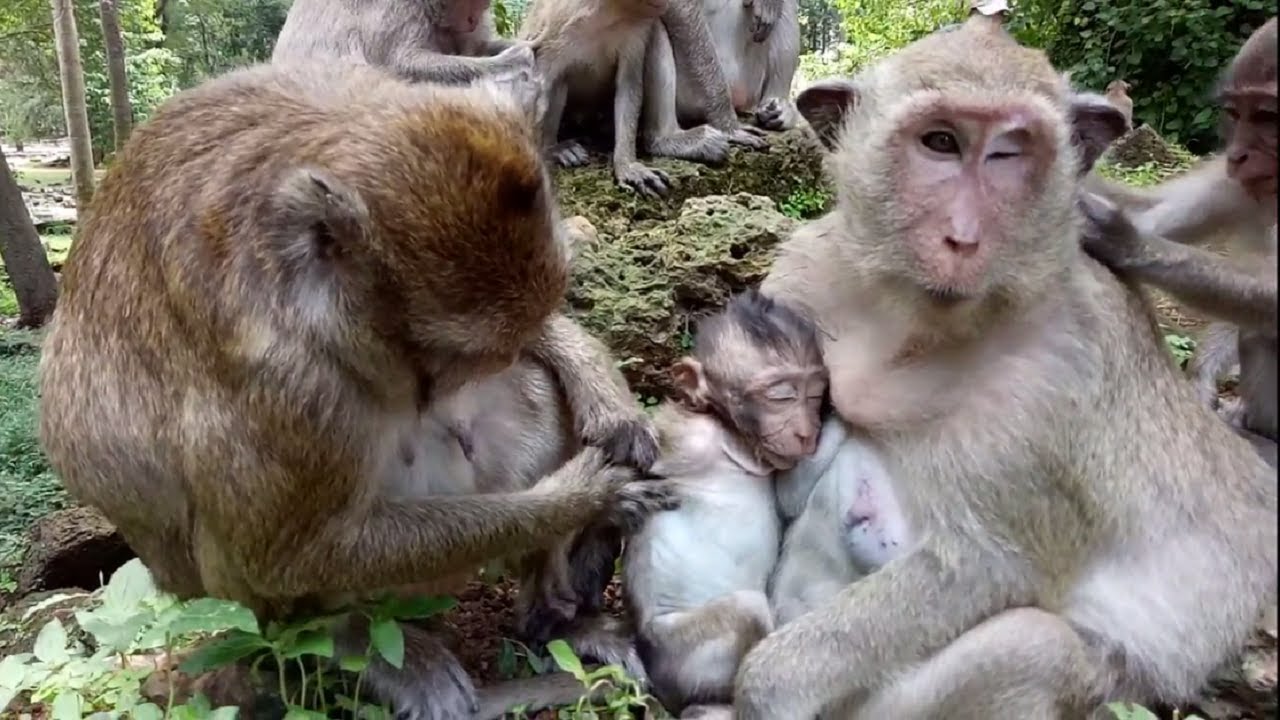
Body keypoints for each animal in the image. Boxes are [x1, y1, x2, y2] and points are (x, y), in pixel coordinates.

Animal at [37, 63, 680, 720]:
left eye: (484, 353)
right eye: (448, 355)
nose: (459, 380)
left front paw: (611, 406)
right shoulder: (284, 380)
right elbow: (287, 554)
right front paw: (589, 497)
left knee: (535, 397)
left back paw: (553, 620)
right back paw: (361, 646)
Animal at [622, 288, 827, 716]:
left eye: (816, 396)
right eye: (781, 395)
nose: (807, 432)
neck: (729, 439)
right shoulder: (684, 437)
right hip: (676, 649)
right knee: (747, 609)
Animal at [1080, 18, 1277, 457]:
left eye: (1267, 116)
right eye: (1236, 113)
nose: (1238, 154)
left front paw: (1126, 241)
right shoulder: (1236, 183)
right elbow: (1156, 213)